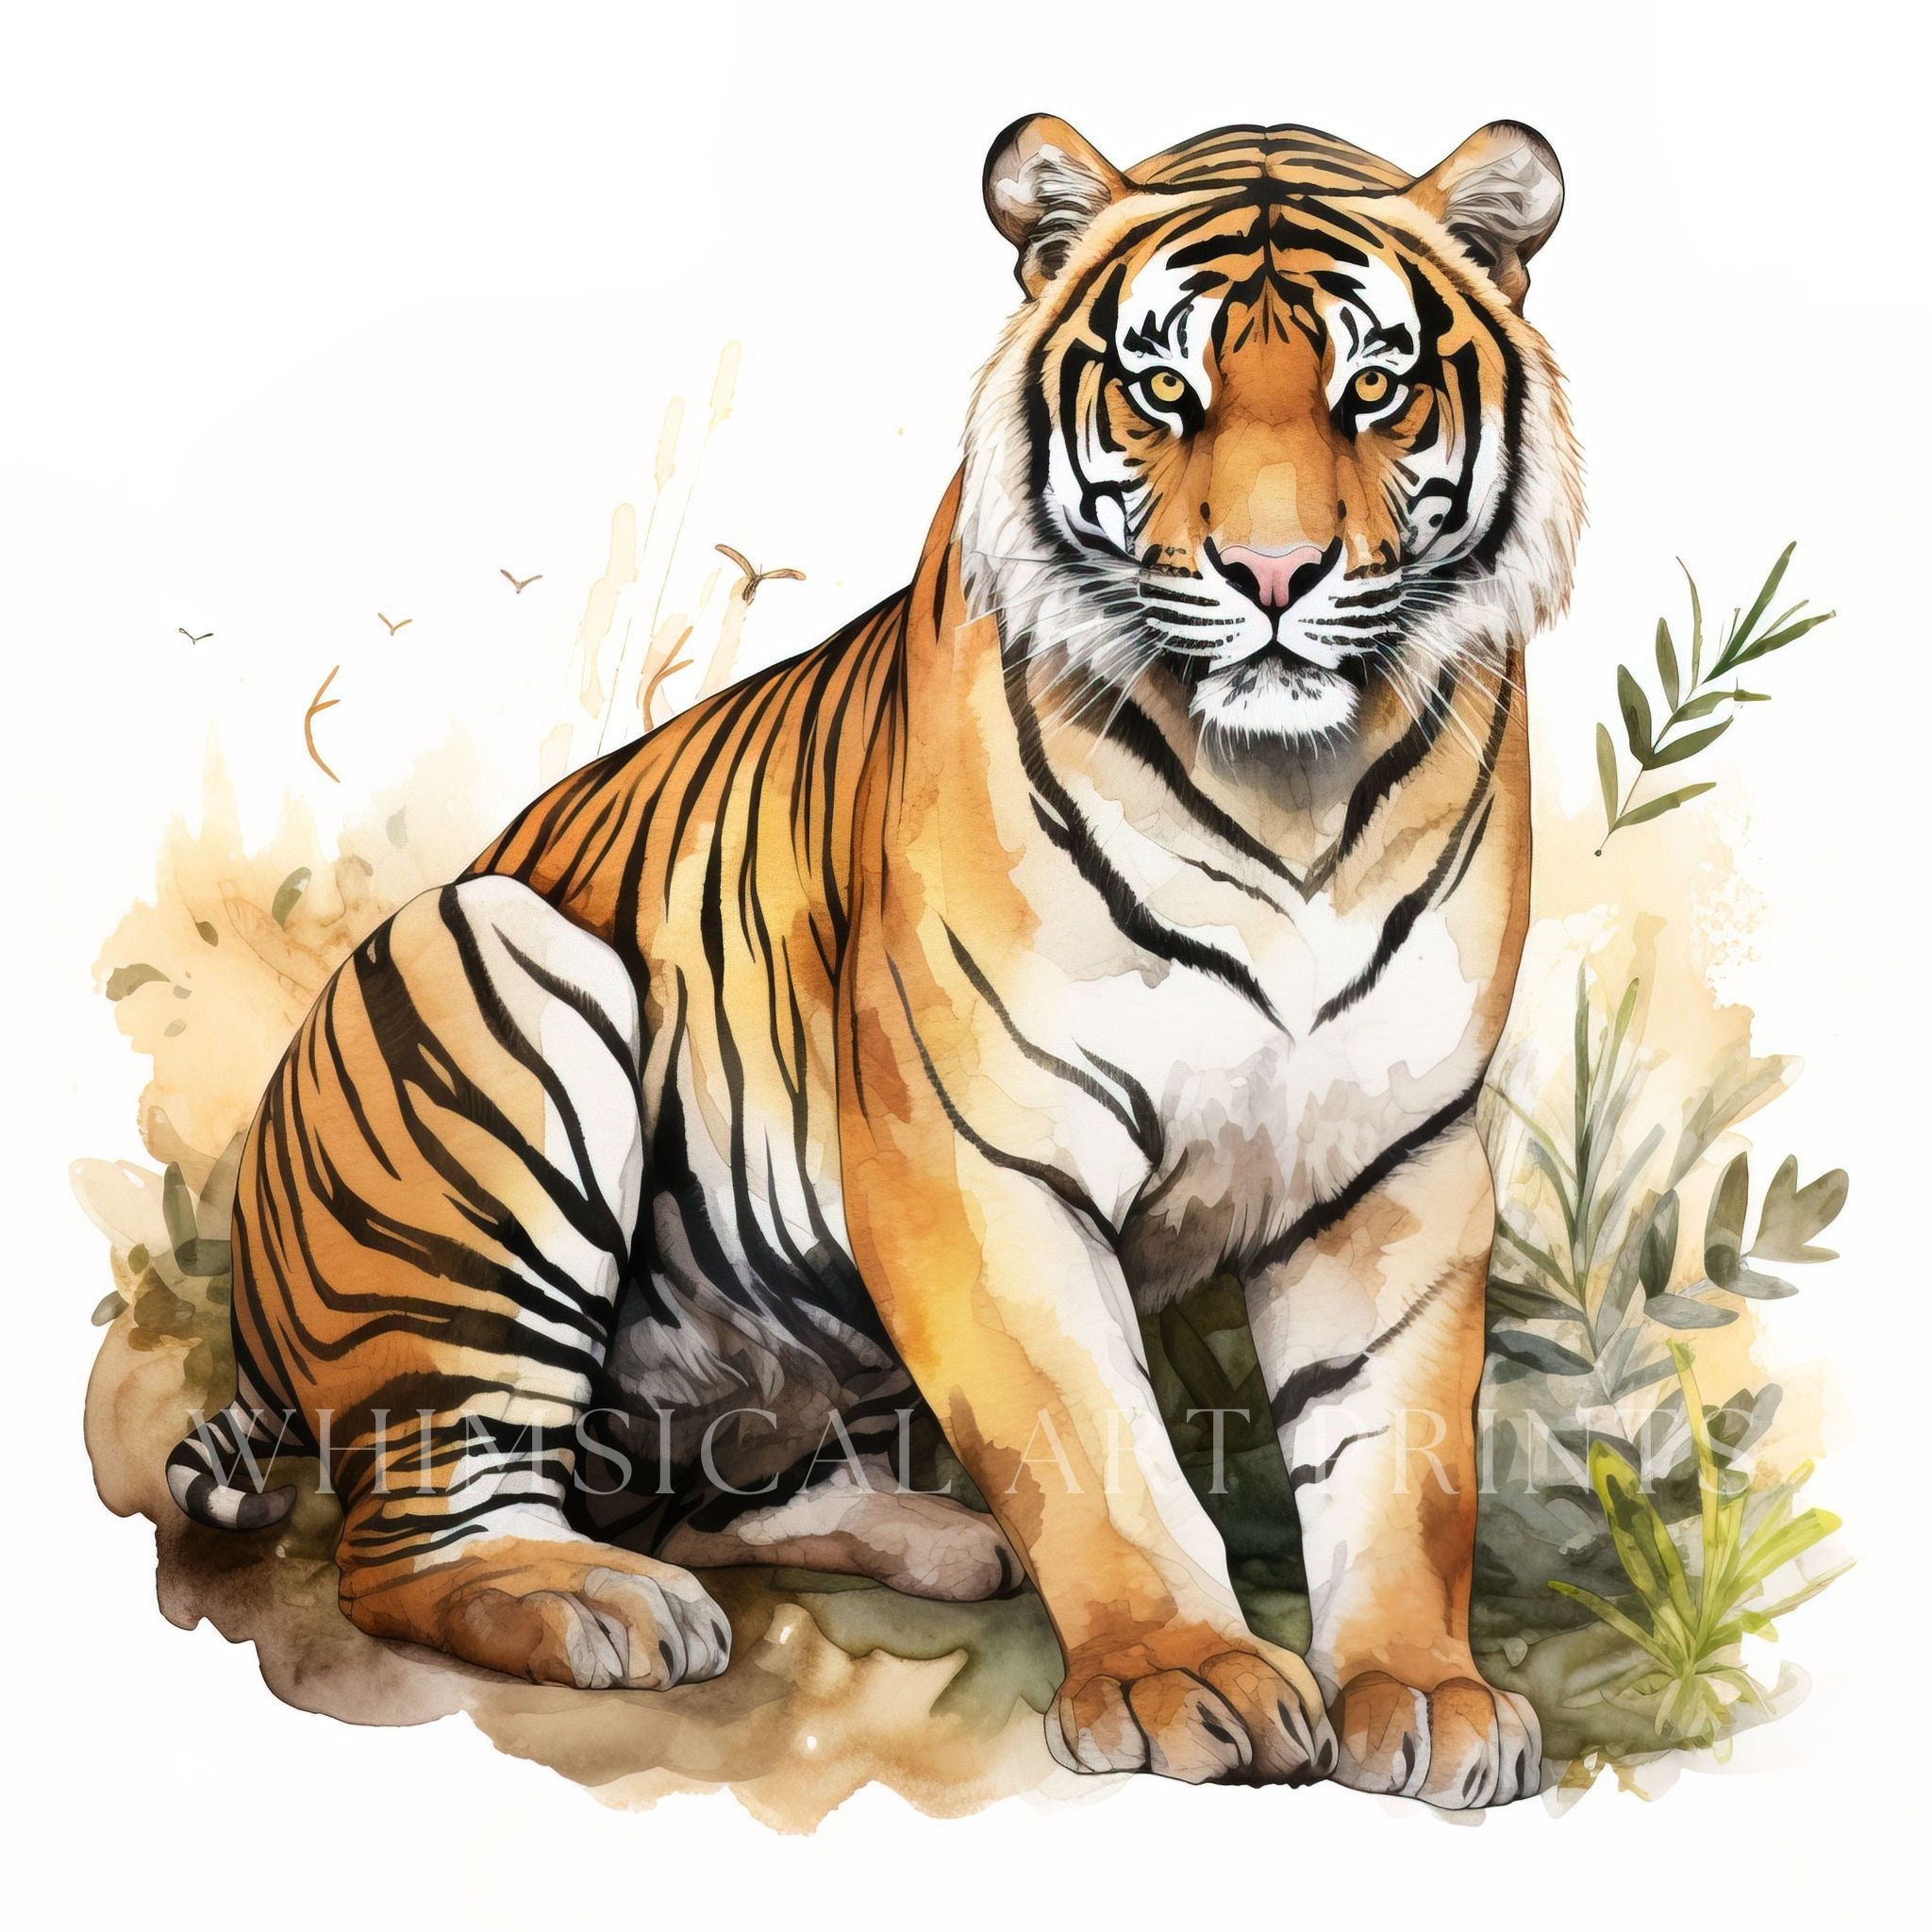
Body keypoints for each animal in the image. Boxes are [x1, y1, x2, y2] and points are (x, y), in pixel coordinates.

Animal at [168, 113, 1581, 1807]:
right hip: (493, 979)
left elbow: (1403, 1456)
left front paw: (1427, 1693)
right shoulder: (977, 1155)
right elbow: (1094, 1444)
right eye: (1163, 391)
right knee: (416, 1531)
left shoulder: (1389, 1160)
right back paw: (598, 1602)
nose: (1274, 573)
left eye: (1372, 388)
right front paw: (1182, 1672)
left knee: (702, 1489)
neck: (1286, 792)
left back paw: (930, 1539)